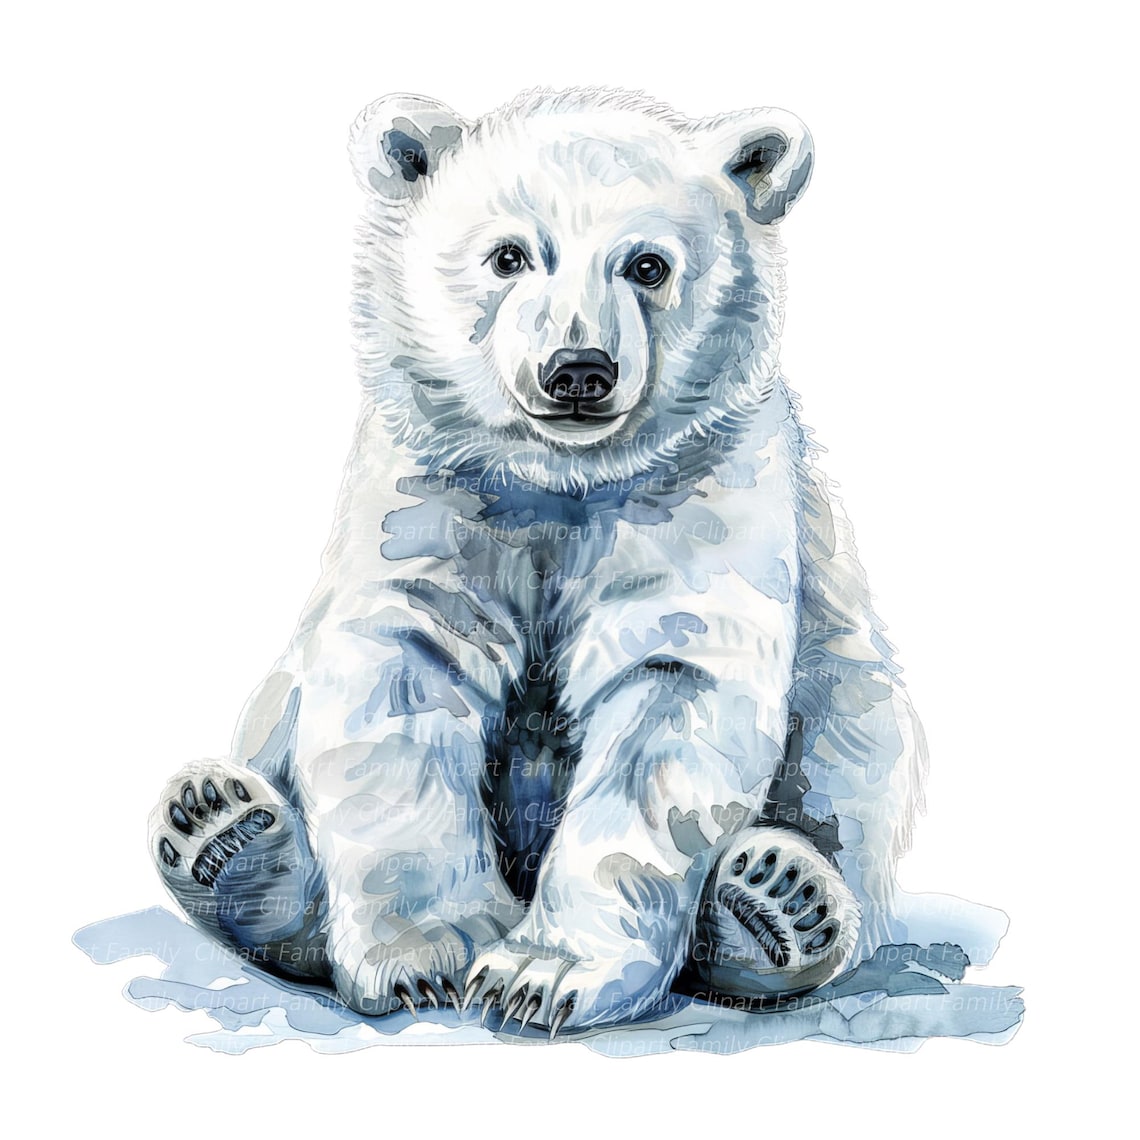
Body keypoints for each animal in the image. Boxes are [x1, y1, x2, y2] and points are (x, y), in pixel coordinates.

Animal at [149, 88, 943, 1038]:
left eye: (647, 265)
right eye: (509, 255)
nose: (578, 370)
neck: (558, 479)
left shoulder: (698, 489)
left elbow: (668, 692)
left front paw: (537, 975)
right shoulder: (435, 492)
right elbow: (402, 677)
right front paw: (430, 959)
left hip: (856, 717)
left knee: (854, 759)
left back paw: (776, 902)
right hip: (274, 700)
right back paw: (222, 830)